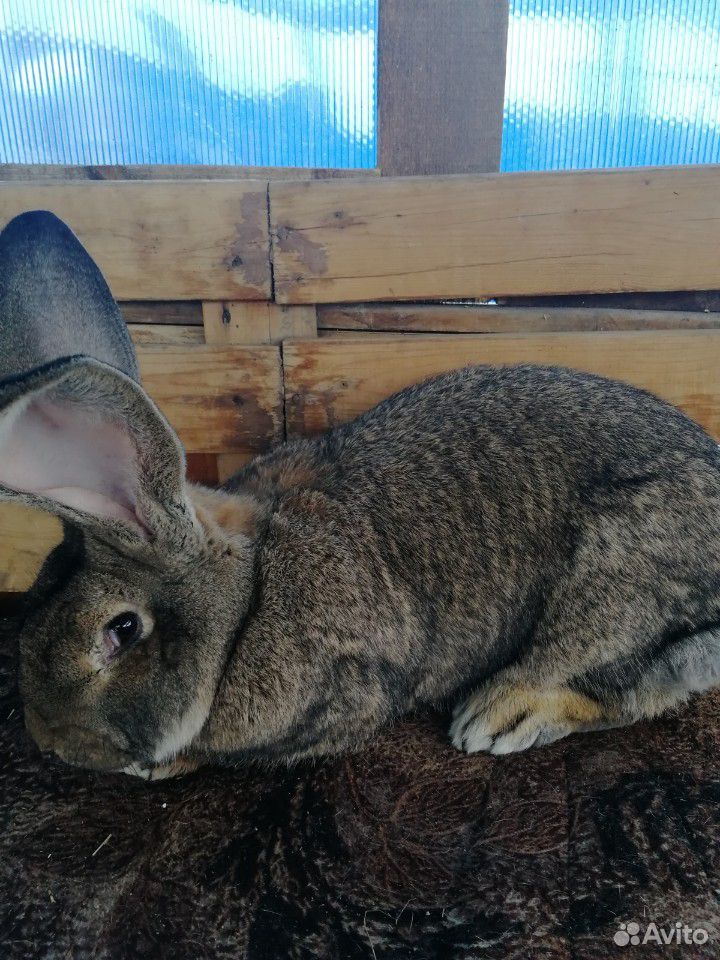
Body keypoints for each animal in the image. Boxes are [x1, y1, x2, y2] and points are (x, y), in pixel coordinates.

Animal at [2, 210, 720, 780]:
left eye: (121, 630)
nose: (51, 746)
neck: (249, 602)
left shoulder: (347, 694)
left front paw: (166, 764)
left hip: (620, 588)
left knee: (622, 687)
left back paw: (496, 716)